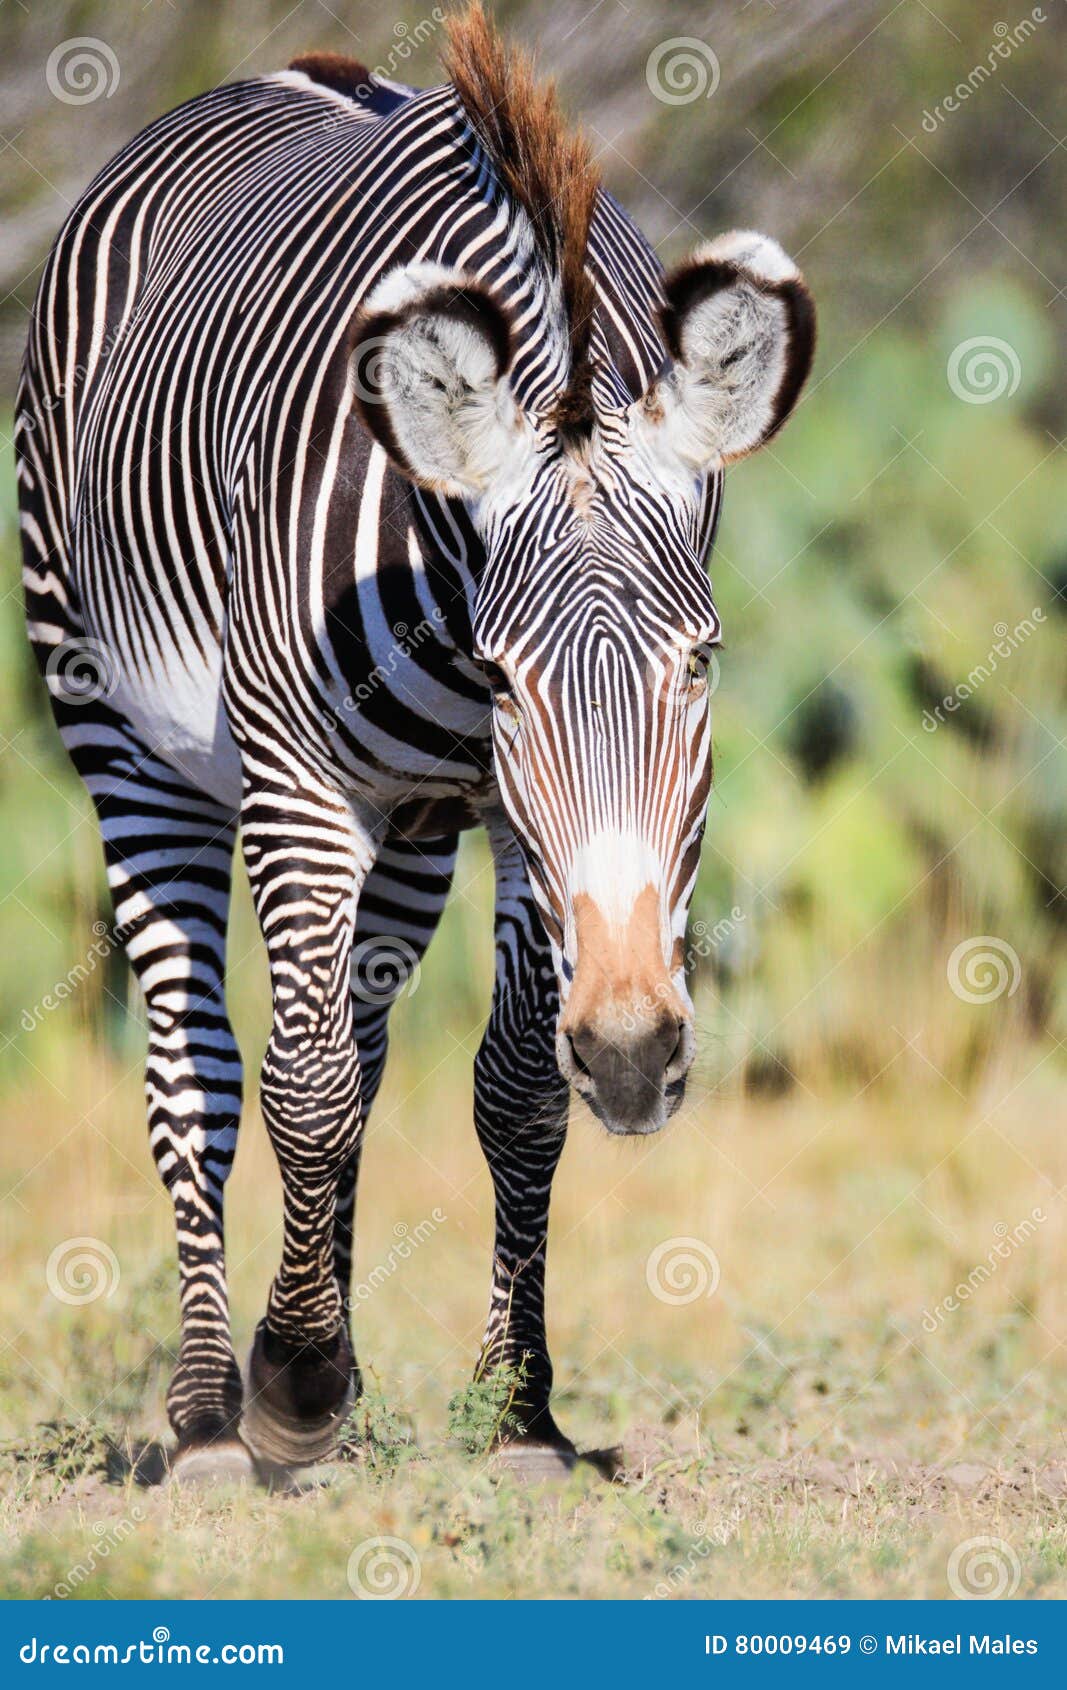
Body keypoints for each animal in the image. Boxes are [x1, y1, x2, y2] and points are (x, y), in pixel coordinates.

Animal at [16, 4, 814, 1481]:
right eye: (503, 675)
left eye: (701, 661)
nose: (634, 1052)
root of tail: (296, 72)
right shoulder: (302, 783)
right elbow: (303, 1083)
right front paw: (292, 1380)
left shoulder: (500, 821)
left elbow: (510, 1086)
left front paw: (517, 1411)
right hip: (123, 739)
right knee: (204, 1071)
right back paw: (213, 1409)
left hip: (414, 830)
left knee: (365, 1051)